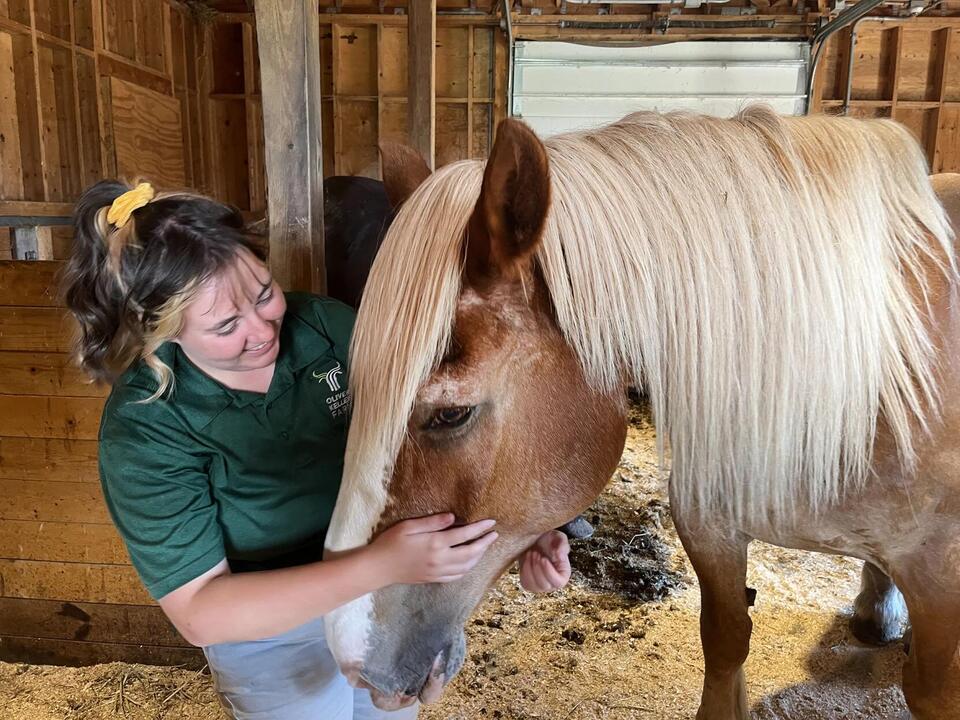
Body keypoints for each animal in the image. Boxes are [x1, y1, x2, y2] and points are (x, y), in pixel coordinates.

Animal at [322, 106, 960, 719]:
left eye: (451, 415)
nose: (352, 659)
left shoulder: (940, 581)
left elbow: (931, 690)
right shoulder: (712, 531)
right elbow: (726, 641)